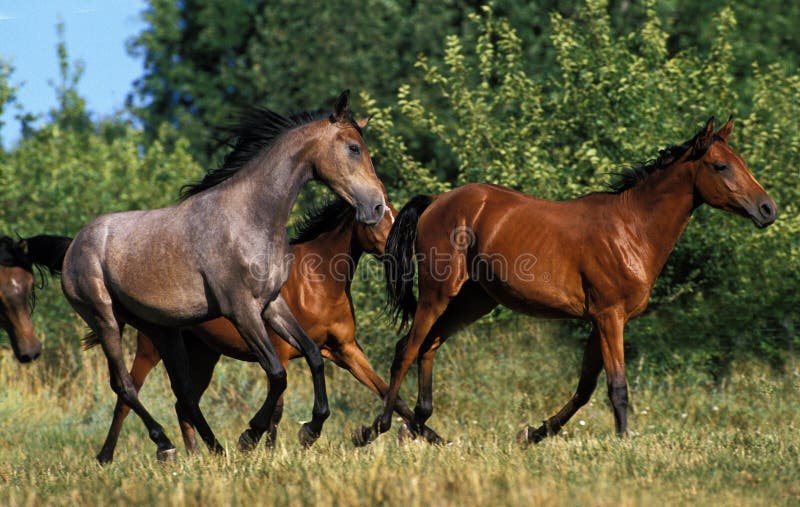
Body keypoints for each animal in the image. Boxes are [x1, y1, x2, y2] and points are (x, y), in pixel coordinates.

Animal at [62, 91, 388, 462]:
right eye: (353, 148)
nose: (376, 207)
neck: (250, 217)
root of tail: (75, 245)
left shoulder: (271, 305)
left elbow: (314, 357)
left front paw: (310, 429)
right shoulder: (242, 311)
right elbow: (277, 375)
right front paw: (251, 435)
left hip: (162, 331)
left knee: (183, 394)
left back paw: (209, 449)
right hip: (106, 320)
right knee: (125, 386)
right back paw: (154, 447)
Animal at [88, 192, 443, 463]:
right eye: (378, 215)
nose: (401, 253)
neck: (318, 280)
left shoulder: (345, 350)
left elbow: (387, 391)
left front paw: (433, 437)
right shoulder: (283, 350)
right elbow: (278, 408)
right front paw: (269, 445)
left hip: (202, 355)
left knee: (184, 402)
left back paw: (194, 456)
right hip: (151, 350)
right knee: (127, 396)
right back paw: (121, 455)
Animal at [353, 116, 777, 446]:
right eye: (720, 166)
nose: (767, 209)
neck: (631, 228)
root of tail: (436, 202)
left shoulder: (602, 321)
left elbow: (585, 388)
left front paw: (531, 434)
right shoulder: (609, 317)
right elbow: (617, 387)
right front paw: (624, 444)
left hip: (474, 300)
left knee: (429, 345)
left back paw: (418, 424)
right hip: (438, 293)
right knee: (406, 349)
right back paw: (377, 428)